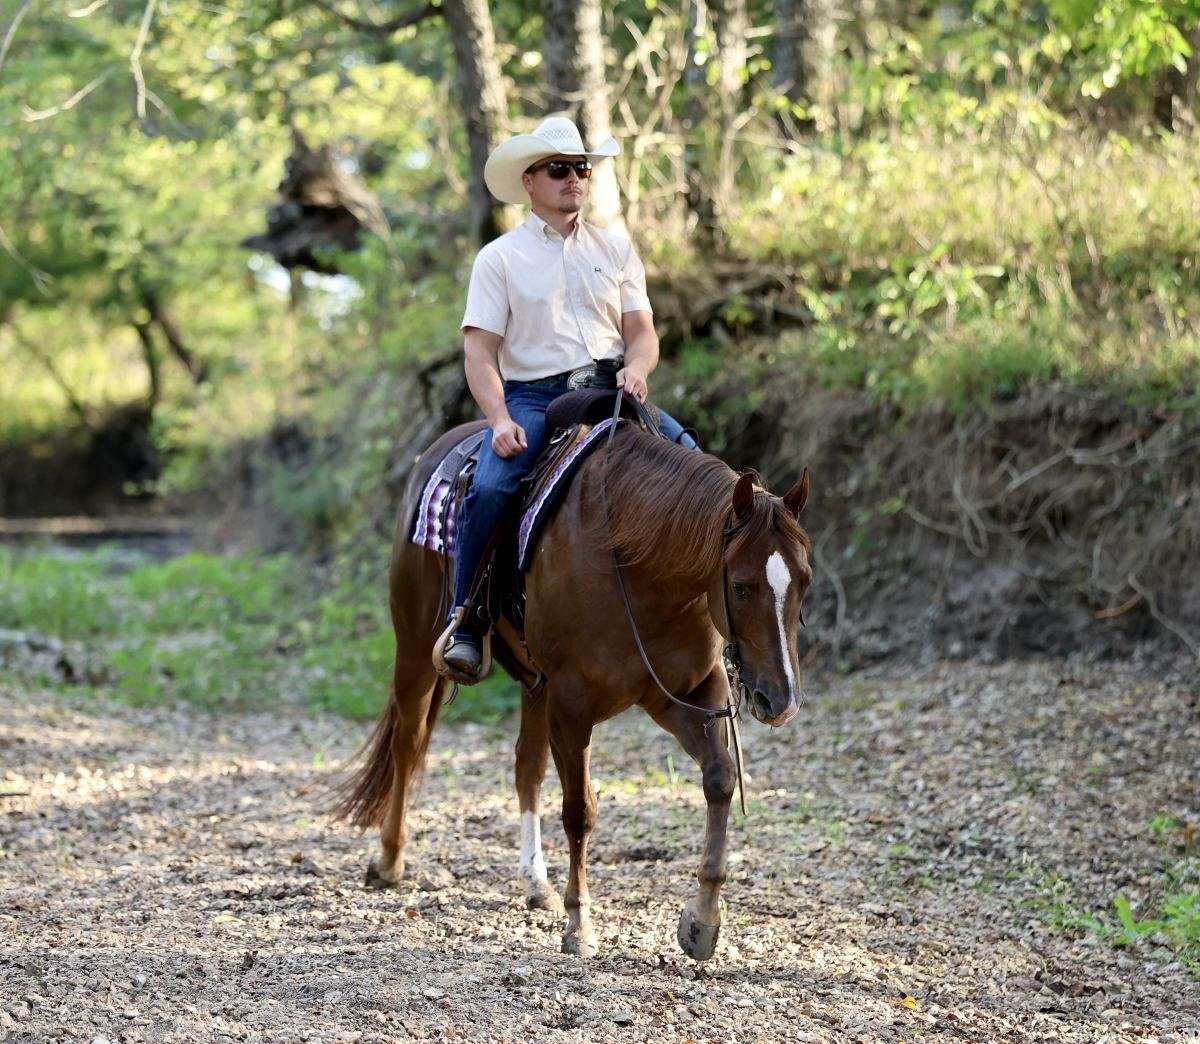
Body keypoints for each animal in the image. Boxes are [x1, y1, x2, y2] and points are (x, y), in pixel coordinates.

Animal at [333, 414, 813, 961]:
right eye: (740, 586)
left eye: (805, 581)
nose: (781, 699)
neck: (636, 563)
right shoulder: (572, 704)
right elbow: (580, 810)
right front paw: (579, 923)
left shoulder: (688, 696)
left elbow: (719, 779)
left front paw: (703, 920)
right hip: (416, 648)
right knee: (408, 746)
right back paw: (390, 861)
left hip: (535, 685)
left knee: (526, 768)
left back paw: (535, 883)